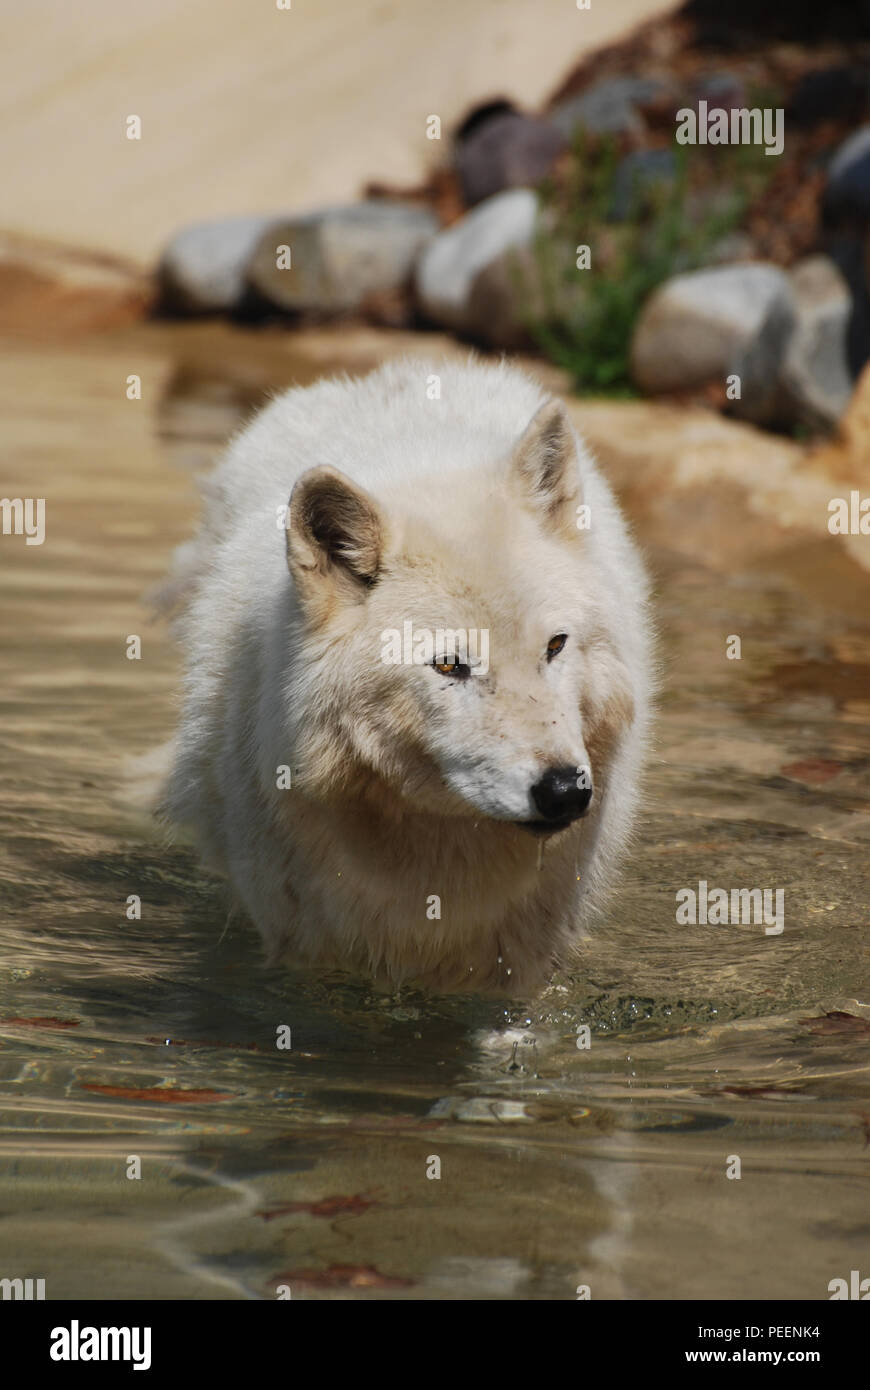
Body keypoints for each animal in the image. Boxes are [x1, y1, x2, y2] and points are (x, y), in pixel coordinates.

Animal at [159, 358, 652, 994]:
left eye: (555, 646)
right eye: (450, 665)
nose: (565, 791)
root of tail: (394, 371)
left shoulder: (524, 957)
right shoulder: (305, 942)